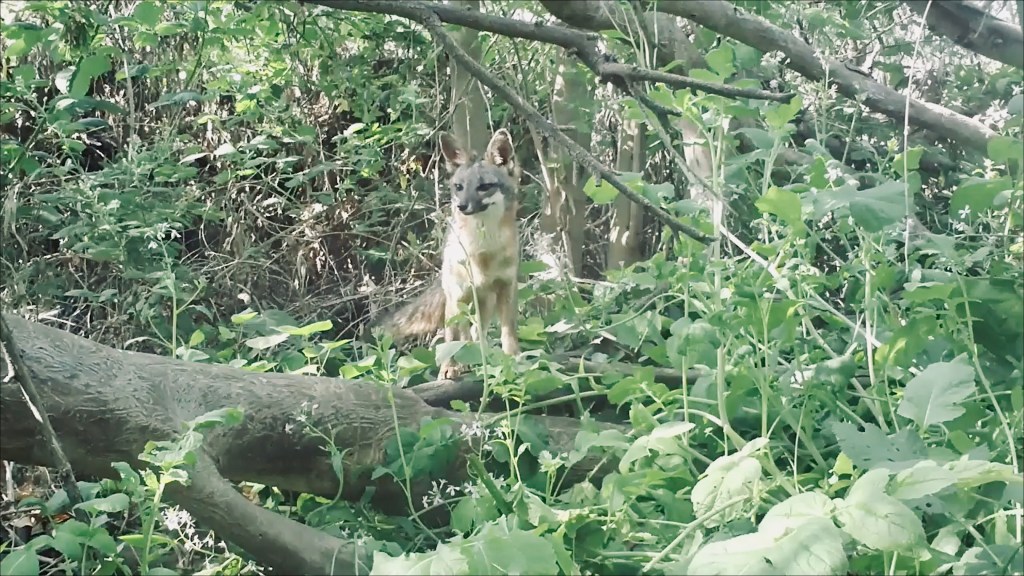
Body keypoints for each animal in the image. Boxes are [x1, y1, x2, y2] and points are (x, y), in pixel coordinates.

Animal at [378, 128, 522, 379]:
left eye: (484, 186)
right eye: (459, 187)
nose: (461, 206)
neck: (482, 250)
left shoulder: (507, 287)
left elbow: (508, 331)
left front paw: (512, 358)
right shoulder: (457, 294)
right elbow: (452, 339)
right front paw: (450, 367)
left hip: (485, 304)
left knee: (475, 334)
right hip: (460, 300)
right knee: (460, 334)